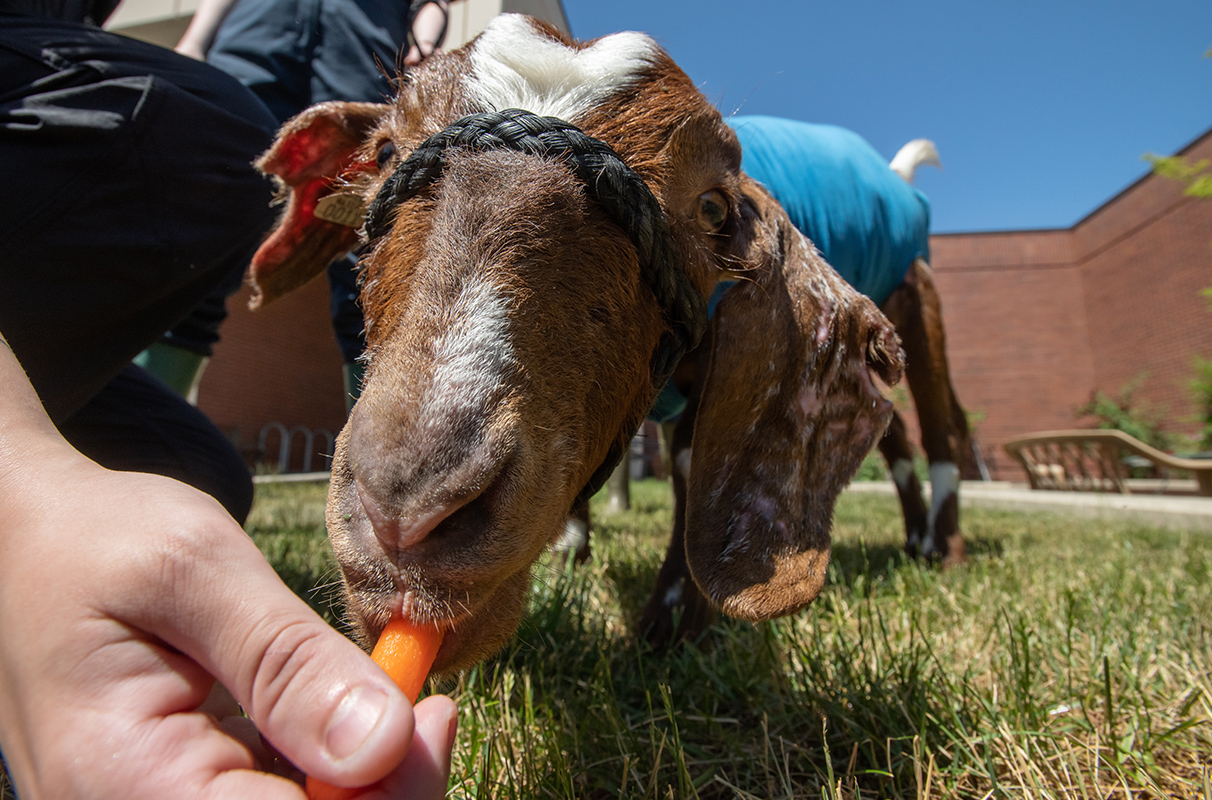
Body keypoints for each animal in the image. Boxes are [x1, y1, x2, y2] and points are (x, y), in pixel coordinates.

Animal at [245, 14, 904, 674]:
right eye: (383, 151)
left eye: (712, 208)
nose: (404, 509)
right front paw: (572, 556)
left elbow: (692, 461)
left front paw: (670, 629)